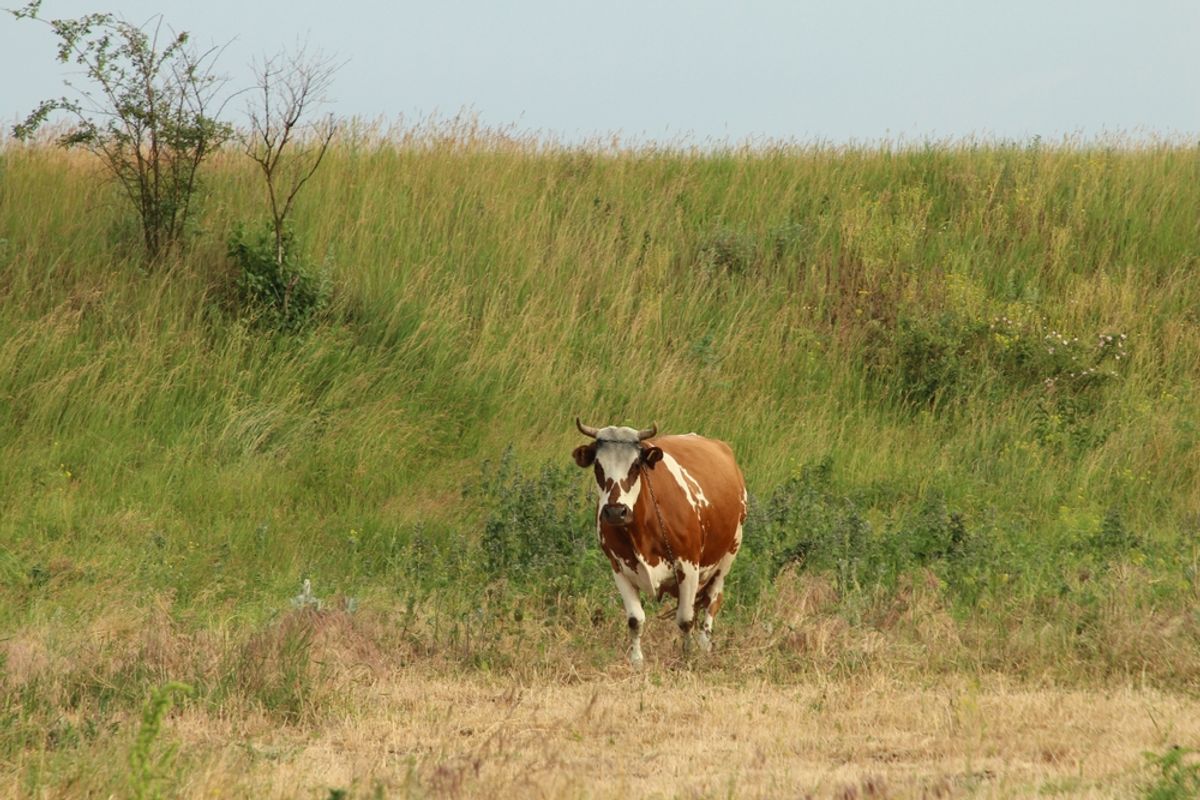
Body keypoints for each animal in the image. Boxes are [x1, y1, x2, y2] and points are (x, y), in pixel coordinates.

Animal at [572, 418, 747, 665]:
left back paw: (704, 644)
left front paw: (688, 656)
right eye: (598, 466)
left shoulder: (688, 566)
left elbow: (685, 619)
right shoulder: (618, 568)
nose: (616, 512)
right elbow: (635, 620)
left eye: (636, 465)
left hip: (729, 553)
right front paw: (636, 661)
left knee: (712, 599)